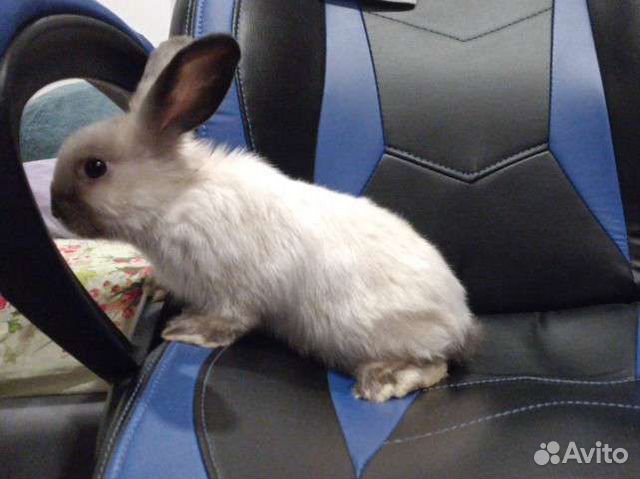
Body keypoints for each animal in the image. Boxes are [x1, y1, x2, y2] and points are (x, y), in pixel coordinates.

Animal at [51, 34, 479, 402]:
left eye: (95, 168)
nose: (54, 208)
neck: (175, 198)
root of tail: (461, 320)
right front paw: (154, 287)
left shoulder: (234, 289)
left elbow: (230, 320)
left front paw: (185, 330)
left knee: (435, 366)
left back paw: (381, 382)